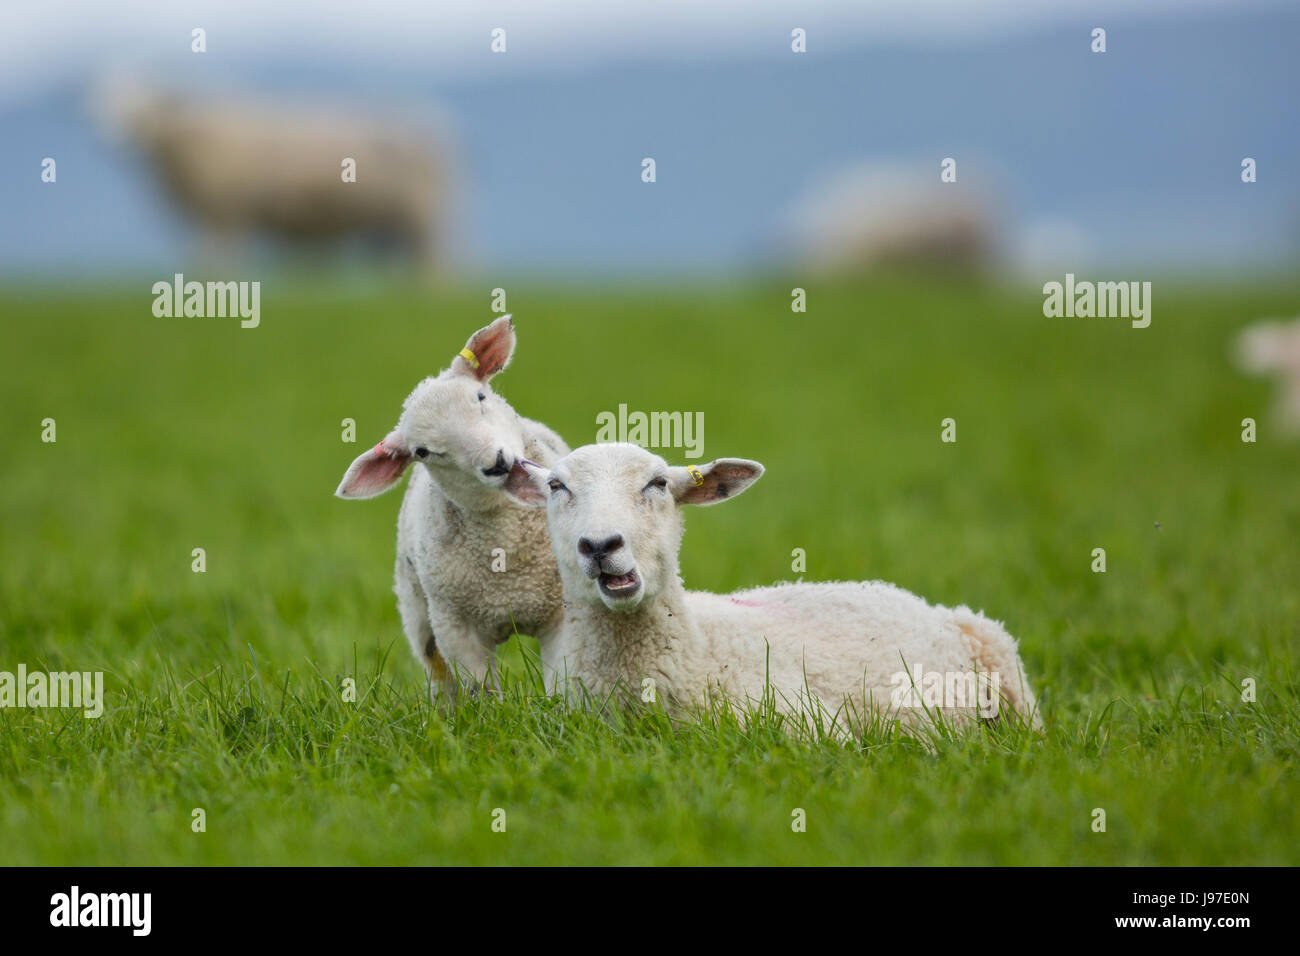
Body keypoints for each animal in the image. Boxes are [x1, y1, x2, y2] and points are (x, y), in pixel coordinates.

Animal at [336, 316, 569, 699]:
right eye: (423, 452)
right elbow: (480, 689)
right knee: (440, 675)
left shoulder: (563, 613)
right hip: (418, 614)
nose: (496, 462)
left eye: (480, 396)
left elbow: (562, 681)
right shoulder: (454, 626)